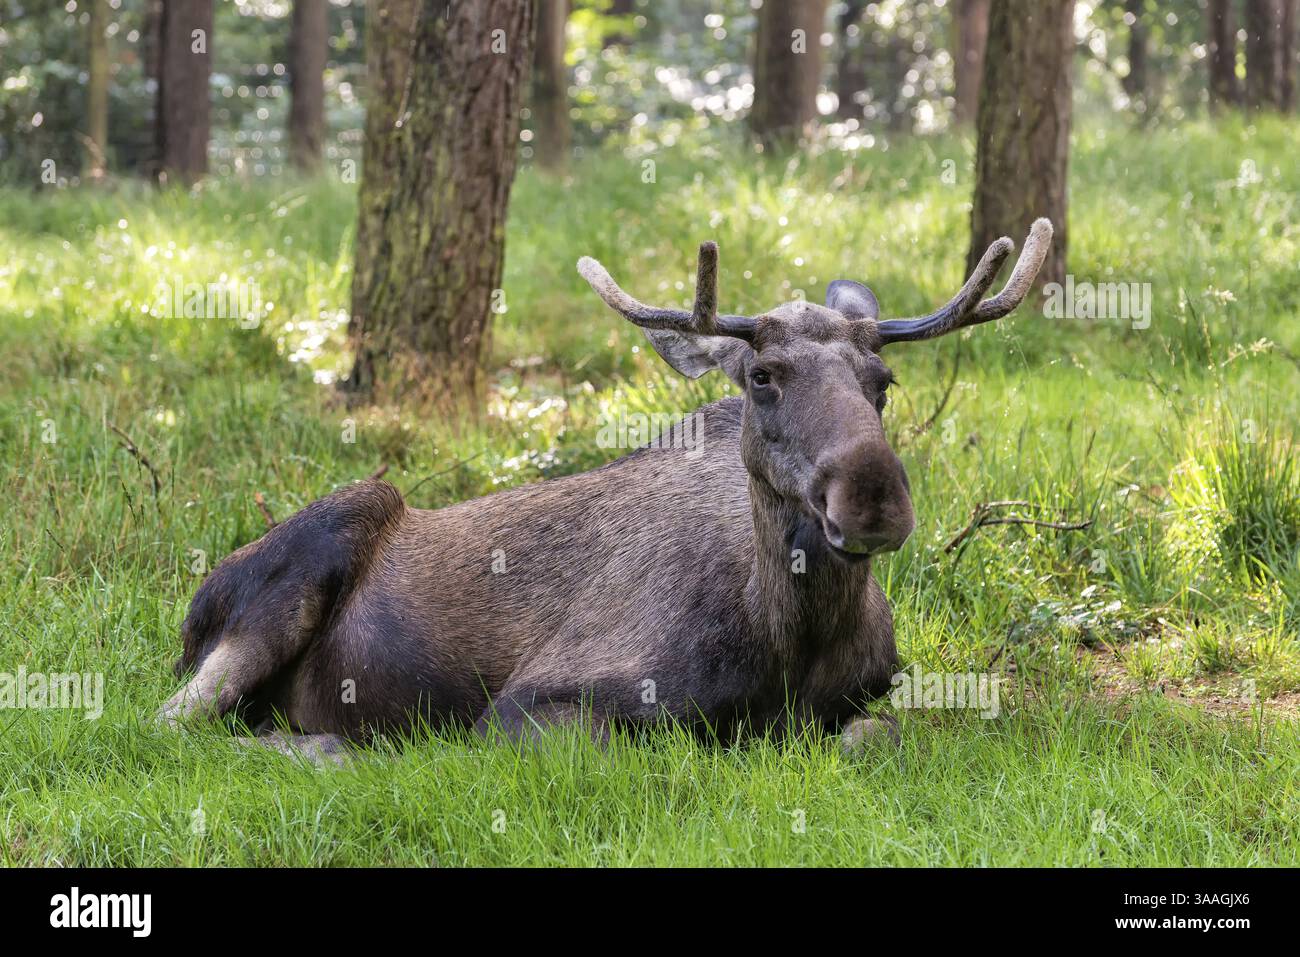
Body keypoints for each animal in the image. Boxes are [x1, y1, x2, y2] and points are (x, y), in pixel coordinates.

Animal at [159, 219, 1053, 763]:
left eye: (883, 380)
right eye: (763, 375)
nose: (871, 494)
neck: (788, 641)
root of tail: (196, 607)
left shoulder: (873, 693)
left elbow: (876, 734)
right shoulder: (530, 704)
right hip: (323, 538)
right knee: (174, 724)